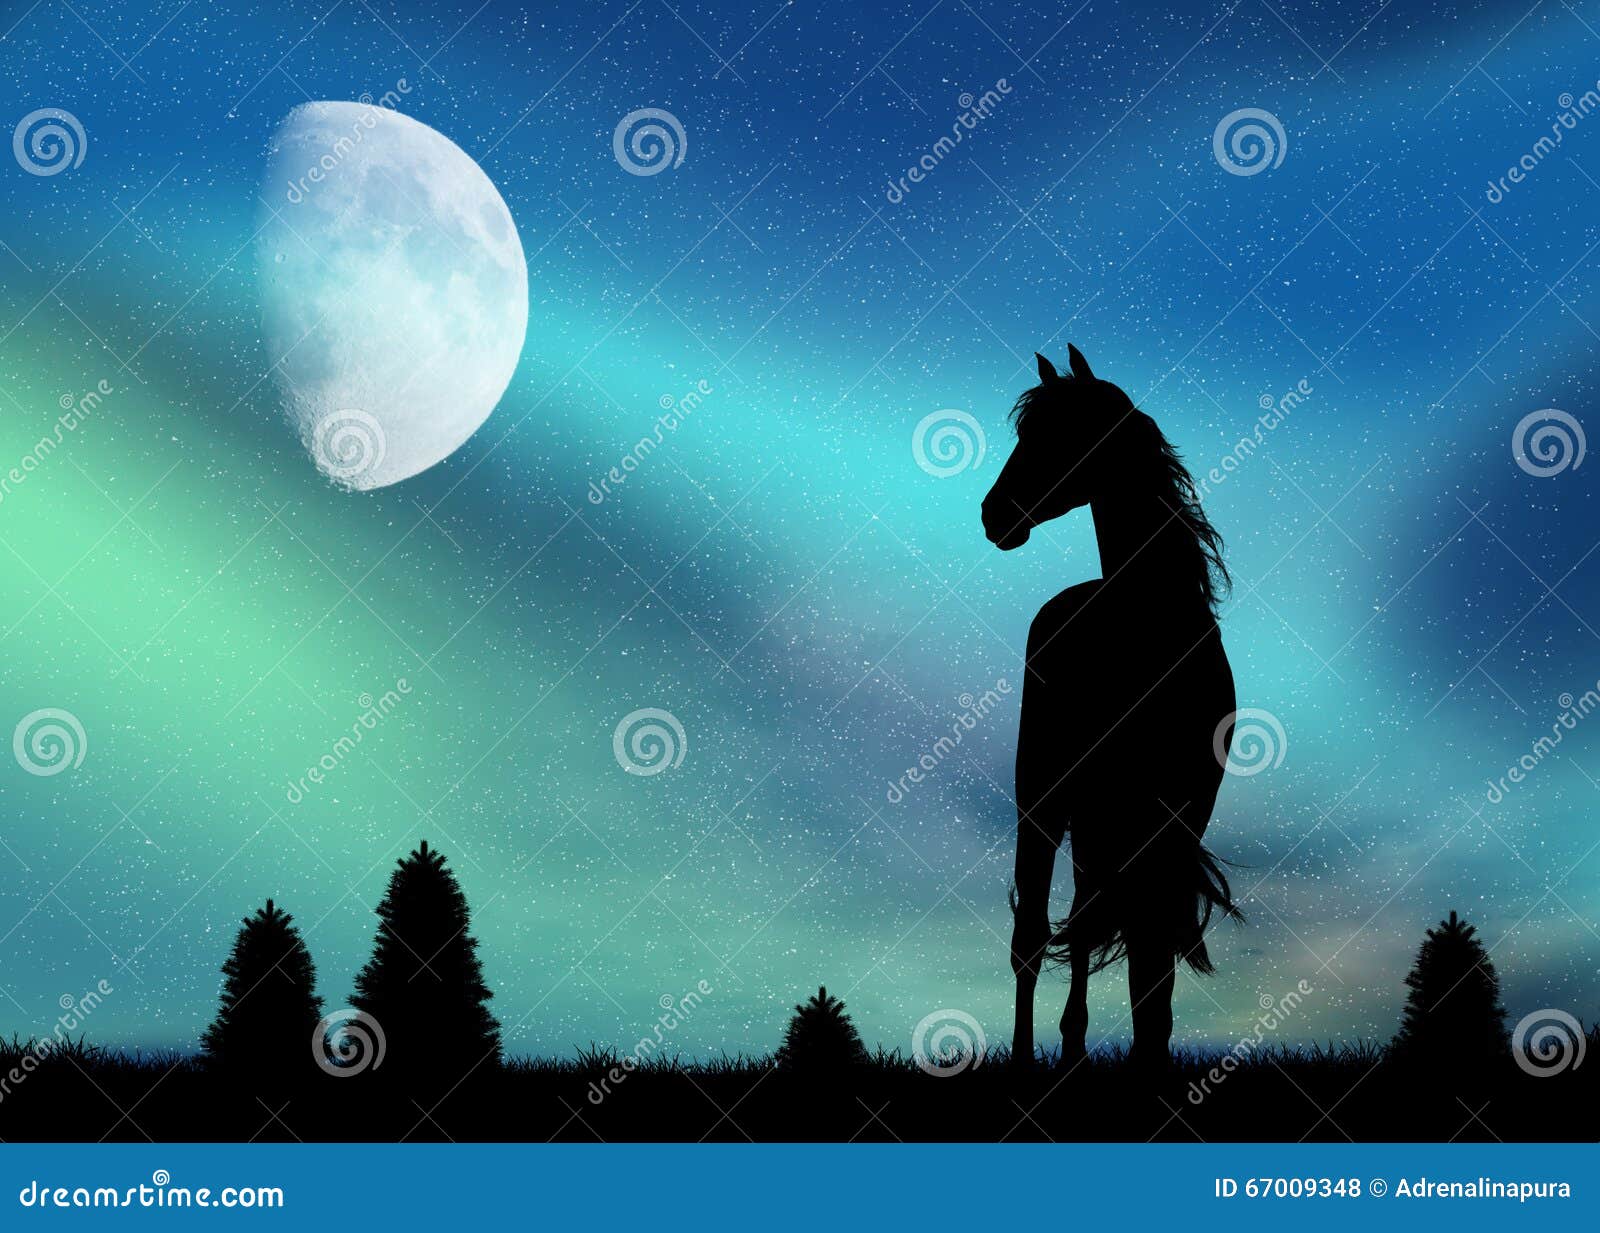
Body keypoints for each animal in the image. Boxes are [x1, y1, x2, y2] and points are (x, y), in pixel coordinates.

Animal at [980, 345, 1241, 1070]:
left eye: (1064, 434)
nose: (993, 514)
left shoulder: (1180, 816)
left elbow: (1151, 962)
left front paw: (1151, 1058)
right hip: (1046, 794)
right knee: (1034, 934)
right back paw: (1028, 1061)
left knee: (1095, 916)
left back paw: (1072, 1050)